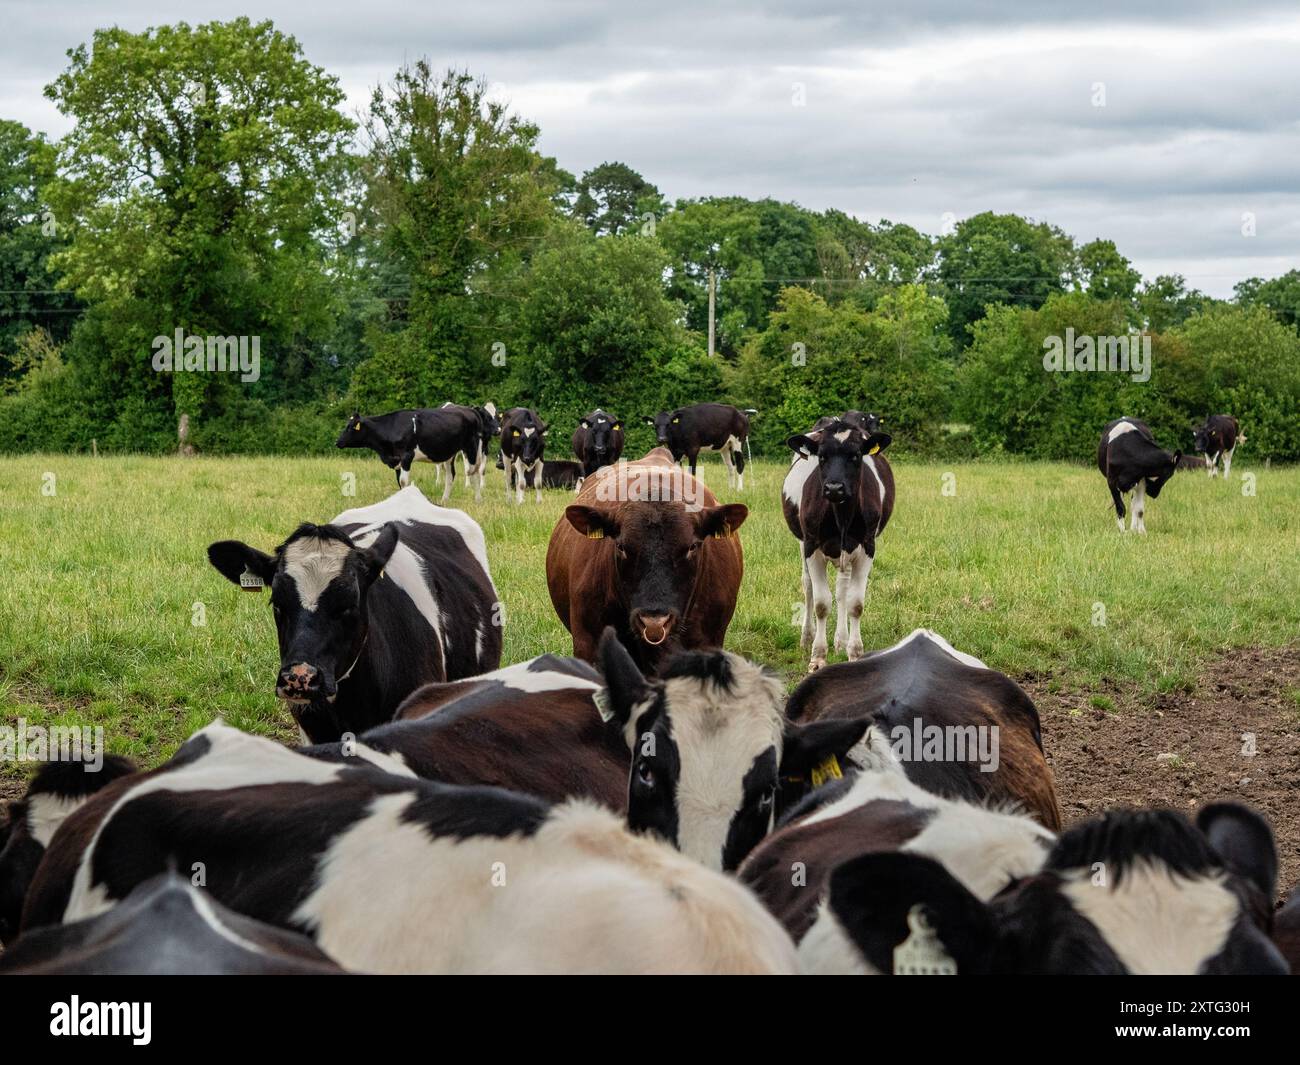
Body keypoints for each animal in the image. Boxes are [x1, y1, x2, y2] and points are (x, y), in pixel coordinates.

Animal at [784, 420, 895, 672]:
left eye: (855, 456)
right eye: (822, 456)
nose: (834, 488)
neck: (841, 516)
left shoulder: (867, 548)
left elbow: (855, 603)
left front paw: (854, 652)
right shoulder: (812, 547)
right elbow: (821, 603)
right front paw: (817, 657)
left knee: (842, 590)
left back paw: (841, 641)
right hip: (801, 542)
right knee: (808, 587)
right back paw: (806, 637)